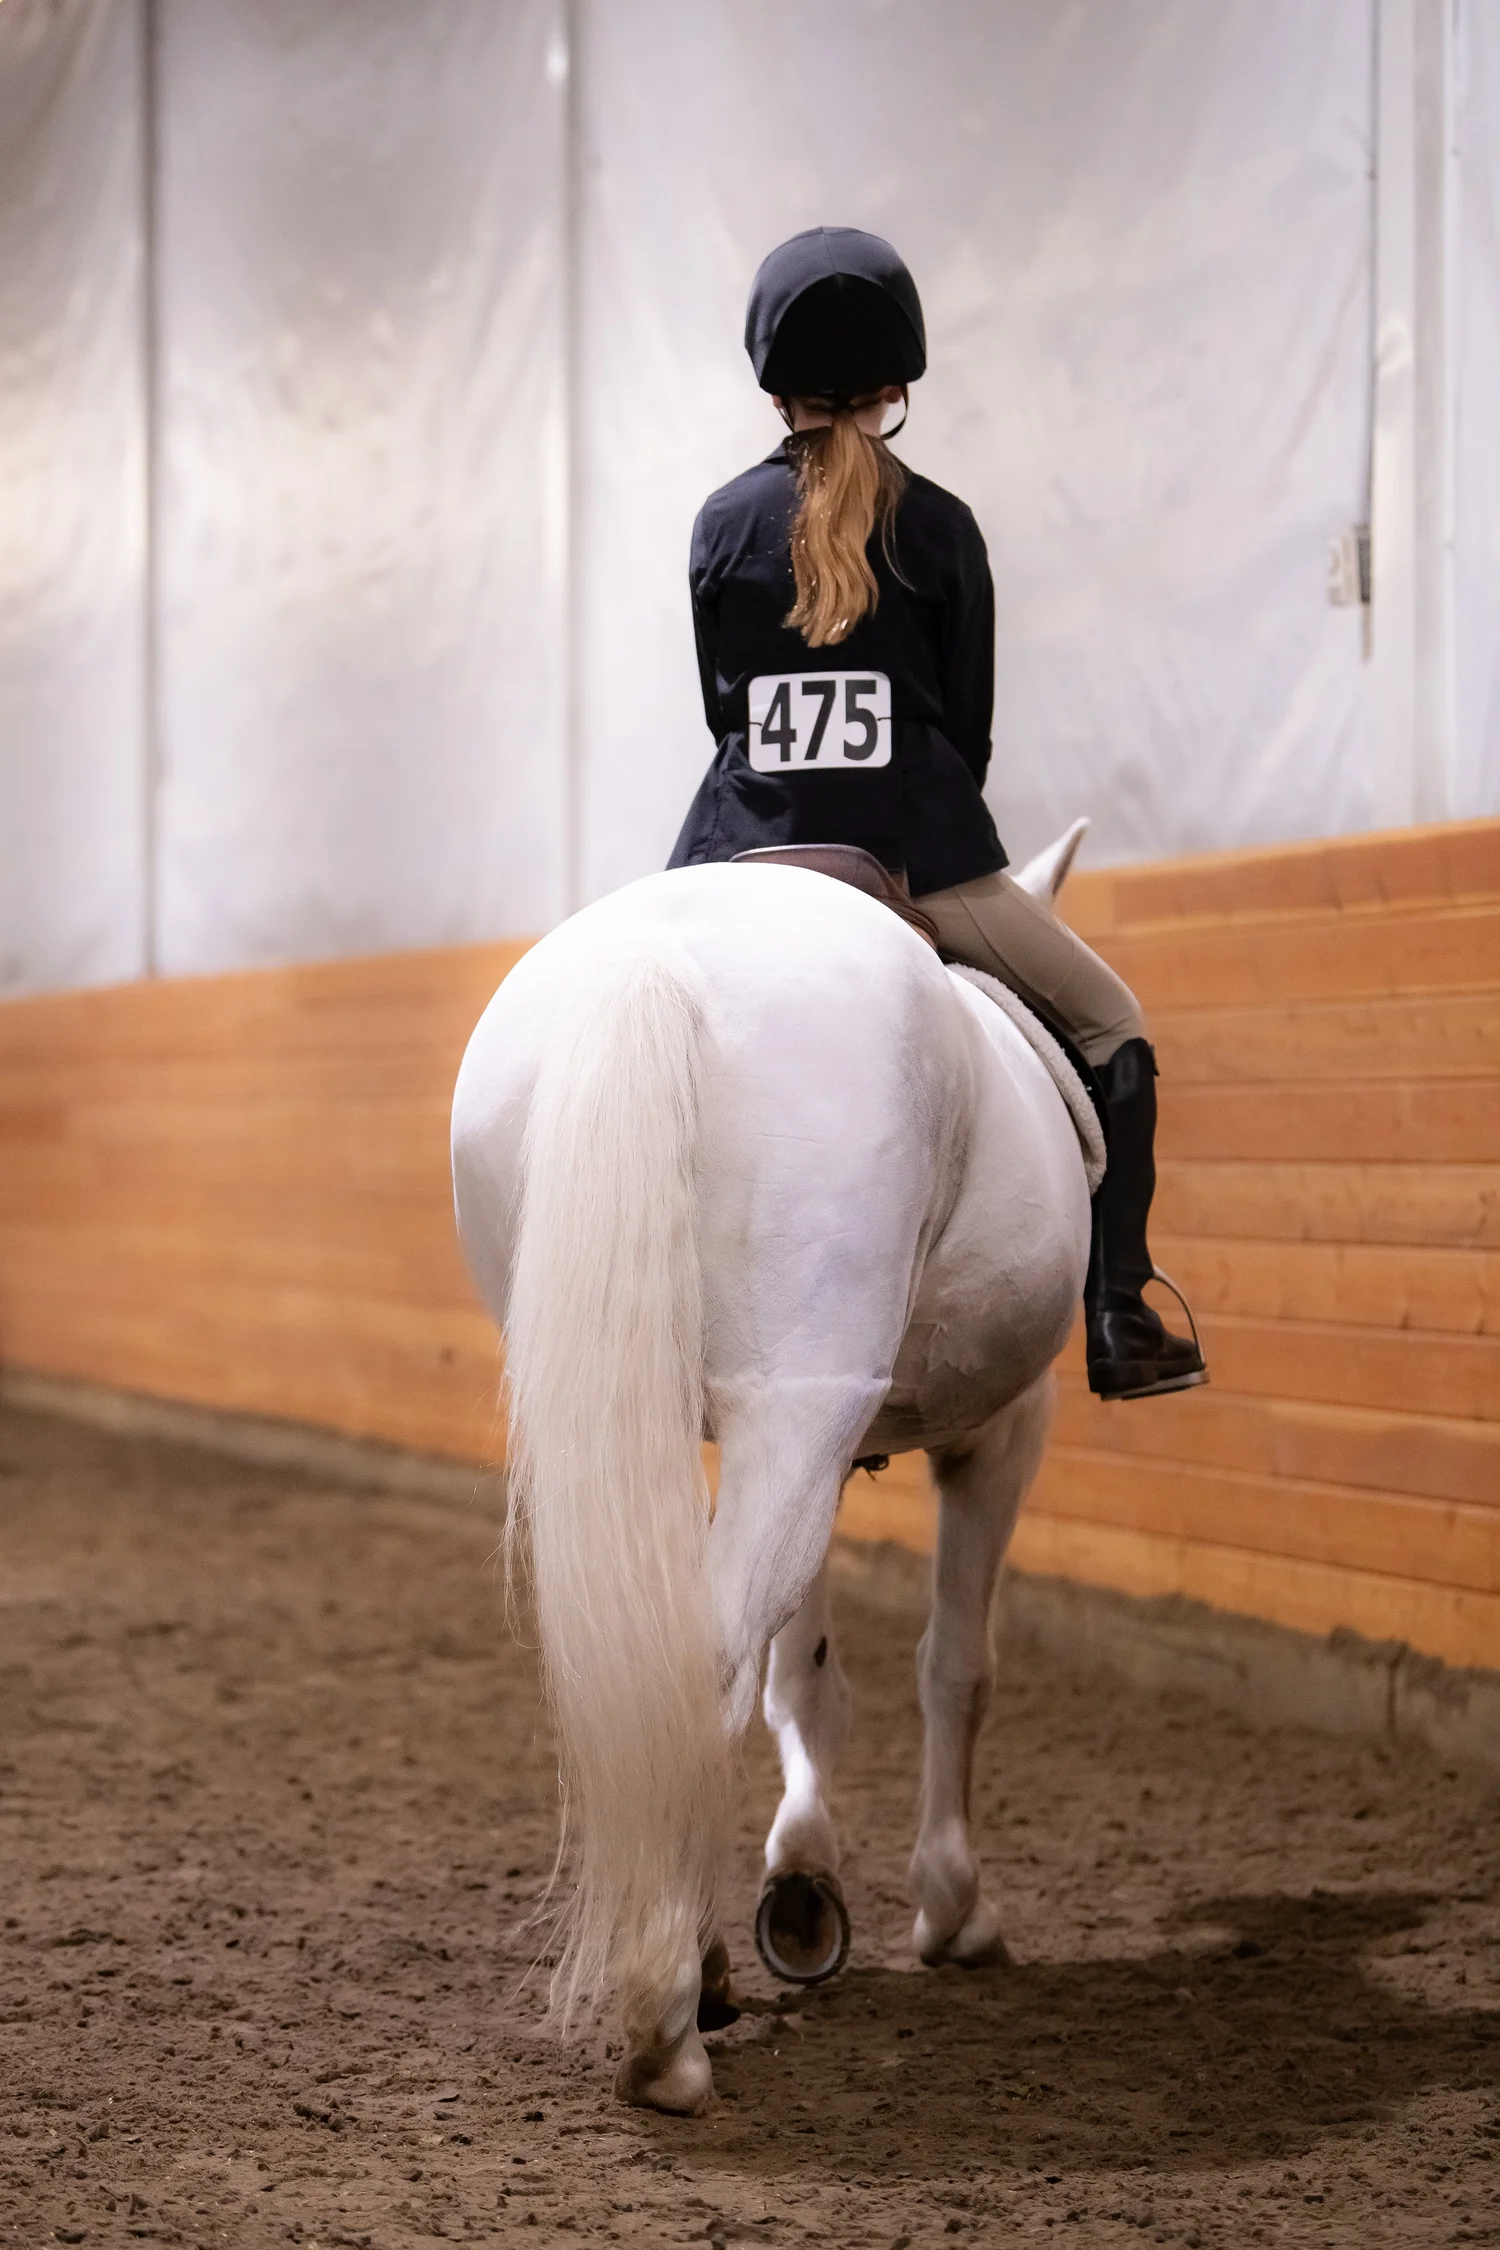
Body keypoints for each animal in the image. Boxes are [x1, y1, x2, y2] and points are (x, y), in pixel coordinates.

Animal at [450, 822, 1101, 2116]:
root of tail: (651, 955)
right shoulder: (1000, 1434)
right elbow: (957, 1665)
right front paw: (952, 1908)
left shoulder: (824, 1444)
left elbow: (799, 1673)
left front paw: (802, 1887)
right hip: (800, 1412)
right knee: (704, 1660)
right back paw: (670, 2022)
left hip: (704, 1410)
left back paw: (697, 1974)